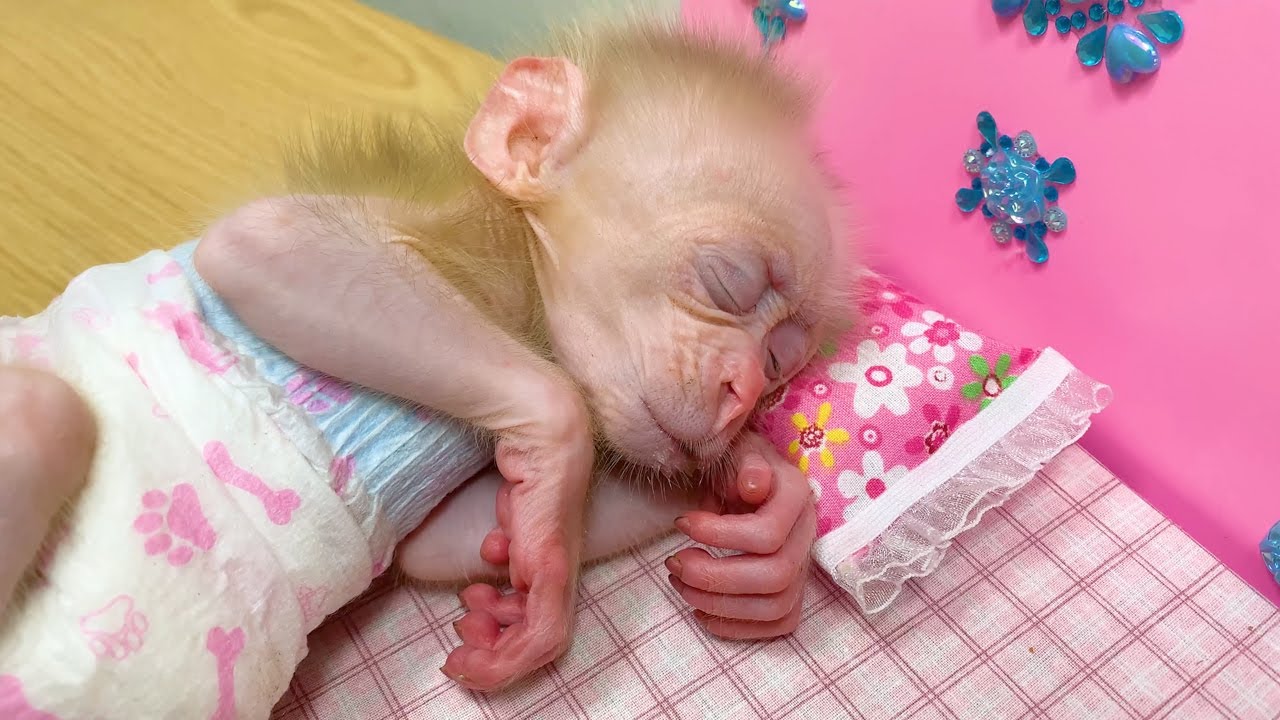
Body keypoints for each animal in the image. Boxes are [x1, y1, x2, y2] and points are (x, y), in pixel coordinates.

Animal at [0, 13, 853, 717]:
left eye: (780, 362)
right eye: (730, 279)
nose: (744, 394)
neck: (524, 310)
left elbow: (431, 546)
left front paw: (764, 497)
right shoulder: (476, 249)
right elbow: (266, 241)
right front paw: (555, 490)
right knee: (45, 414)